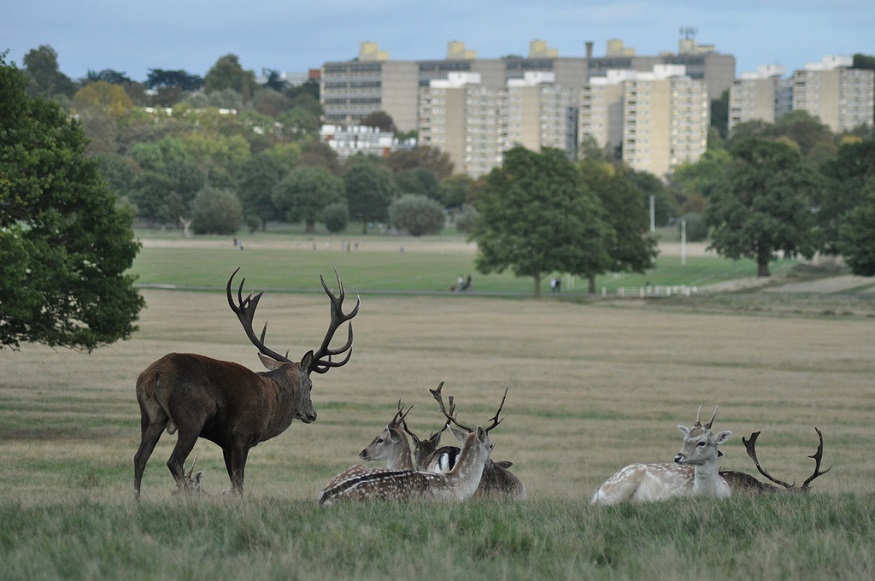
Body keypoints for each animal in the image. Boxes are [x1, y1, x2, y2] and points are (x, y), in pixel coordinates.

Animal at [134, 267, 360, 498]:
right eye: (311, 385)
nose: (312, 414)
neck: (271, 403)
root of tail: (154, 374)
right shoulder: (242, 435)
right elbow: (239, 483)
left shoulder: (226, 443)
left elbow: (234, 482)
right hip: (191, 417)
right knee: (174, 461)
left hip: (150, 416)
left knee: (139, 458)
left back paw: (137, 501)